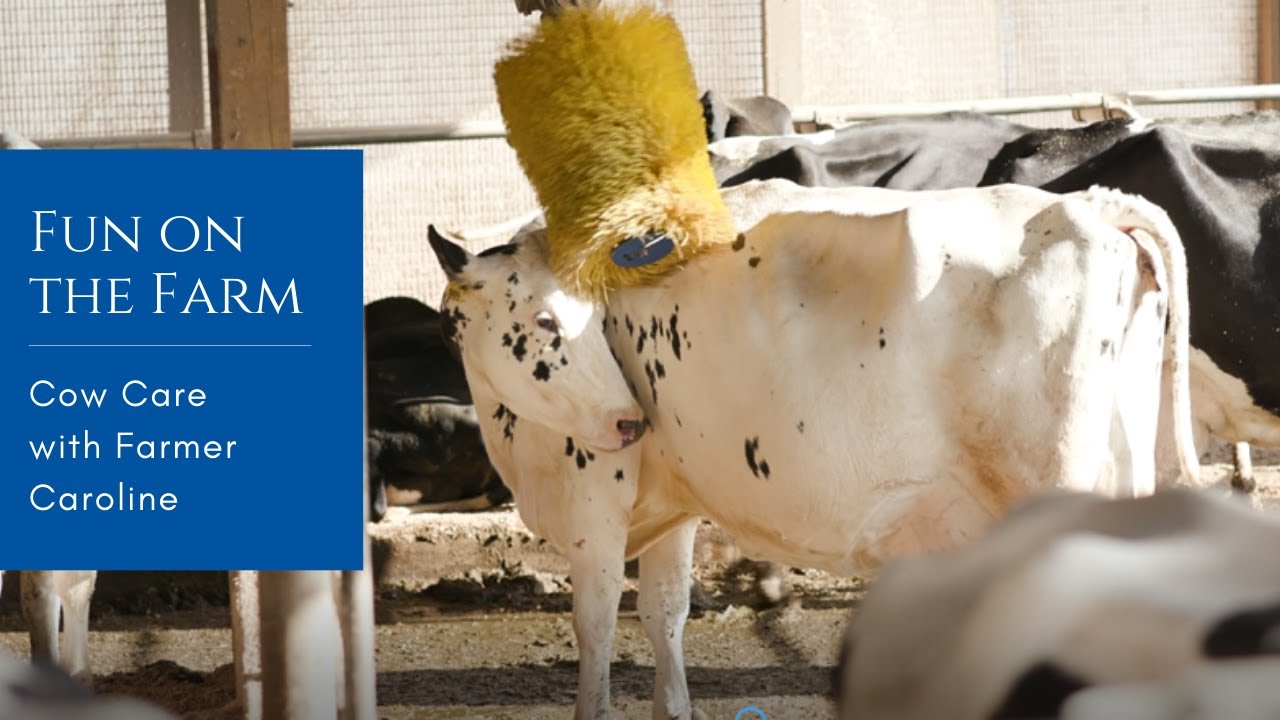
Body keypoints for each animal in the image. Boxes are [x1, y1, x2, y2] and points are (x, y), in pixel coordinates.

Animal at [426, 178, 1200, 719]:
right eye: (547, 318)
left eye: (566, 318)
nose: (626, 422)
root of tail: (1090, 204)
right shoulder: (672, 501)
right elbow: (664, 614)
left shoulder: (593, 502)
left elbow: (595, 629)